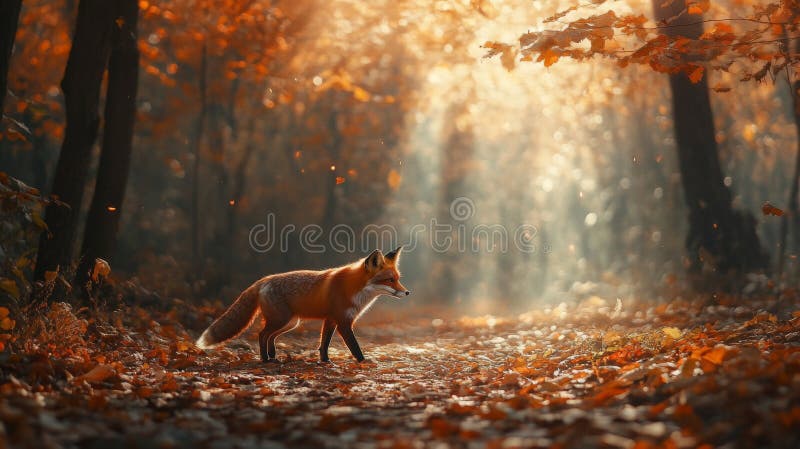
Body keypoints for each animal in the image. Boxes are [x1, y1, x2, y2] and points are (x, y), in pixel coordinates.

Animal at [196, 247, 410, 362]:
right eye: (390, 280)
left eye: (398, 279)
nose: (407, 292)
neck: (354, 289)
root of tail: (264, 280)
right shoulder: (343, 322)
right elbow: (354, 346)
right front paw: (363, 361)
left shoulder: (331, 320)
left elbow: (324, 344)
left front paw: (325, 361)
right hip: (282, 320)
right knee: (262, 334)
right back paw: (265, 359)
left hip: (290, 323)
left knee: (270, 336)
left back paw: (273, 356)